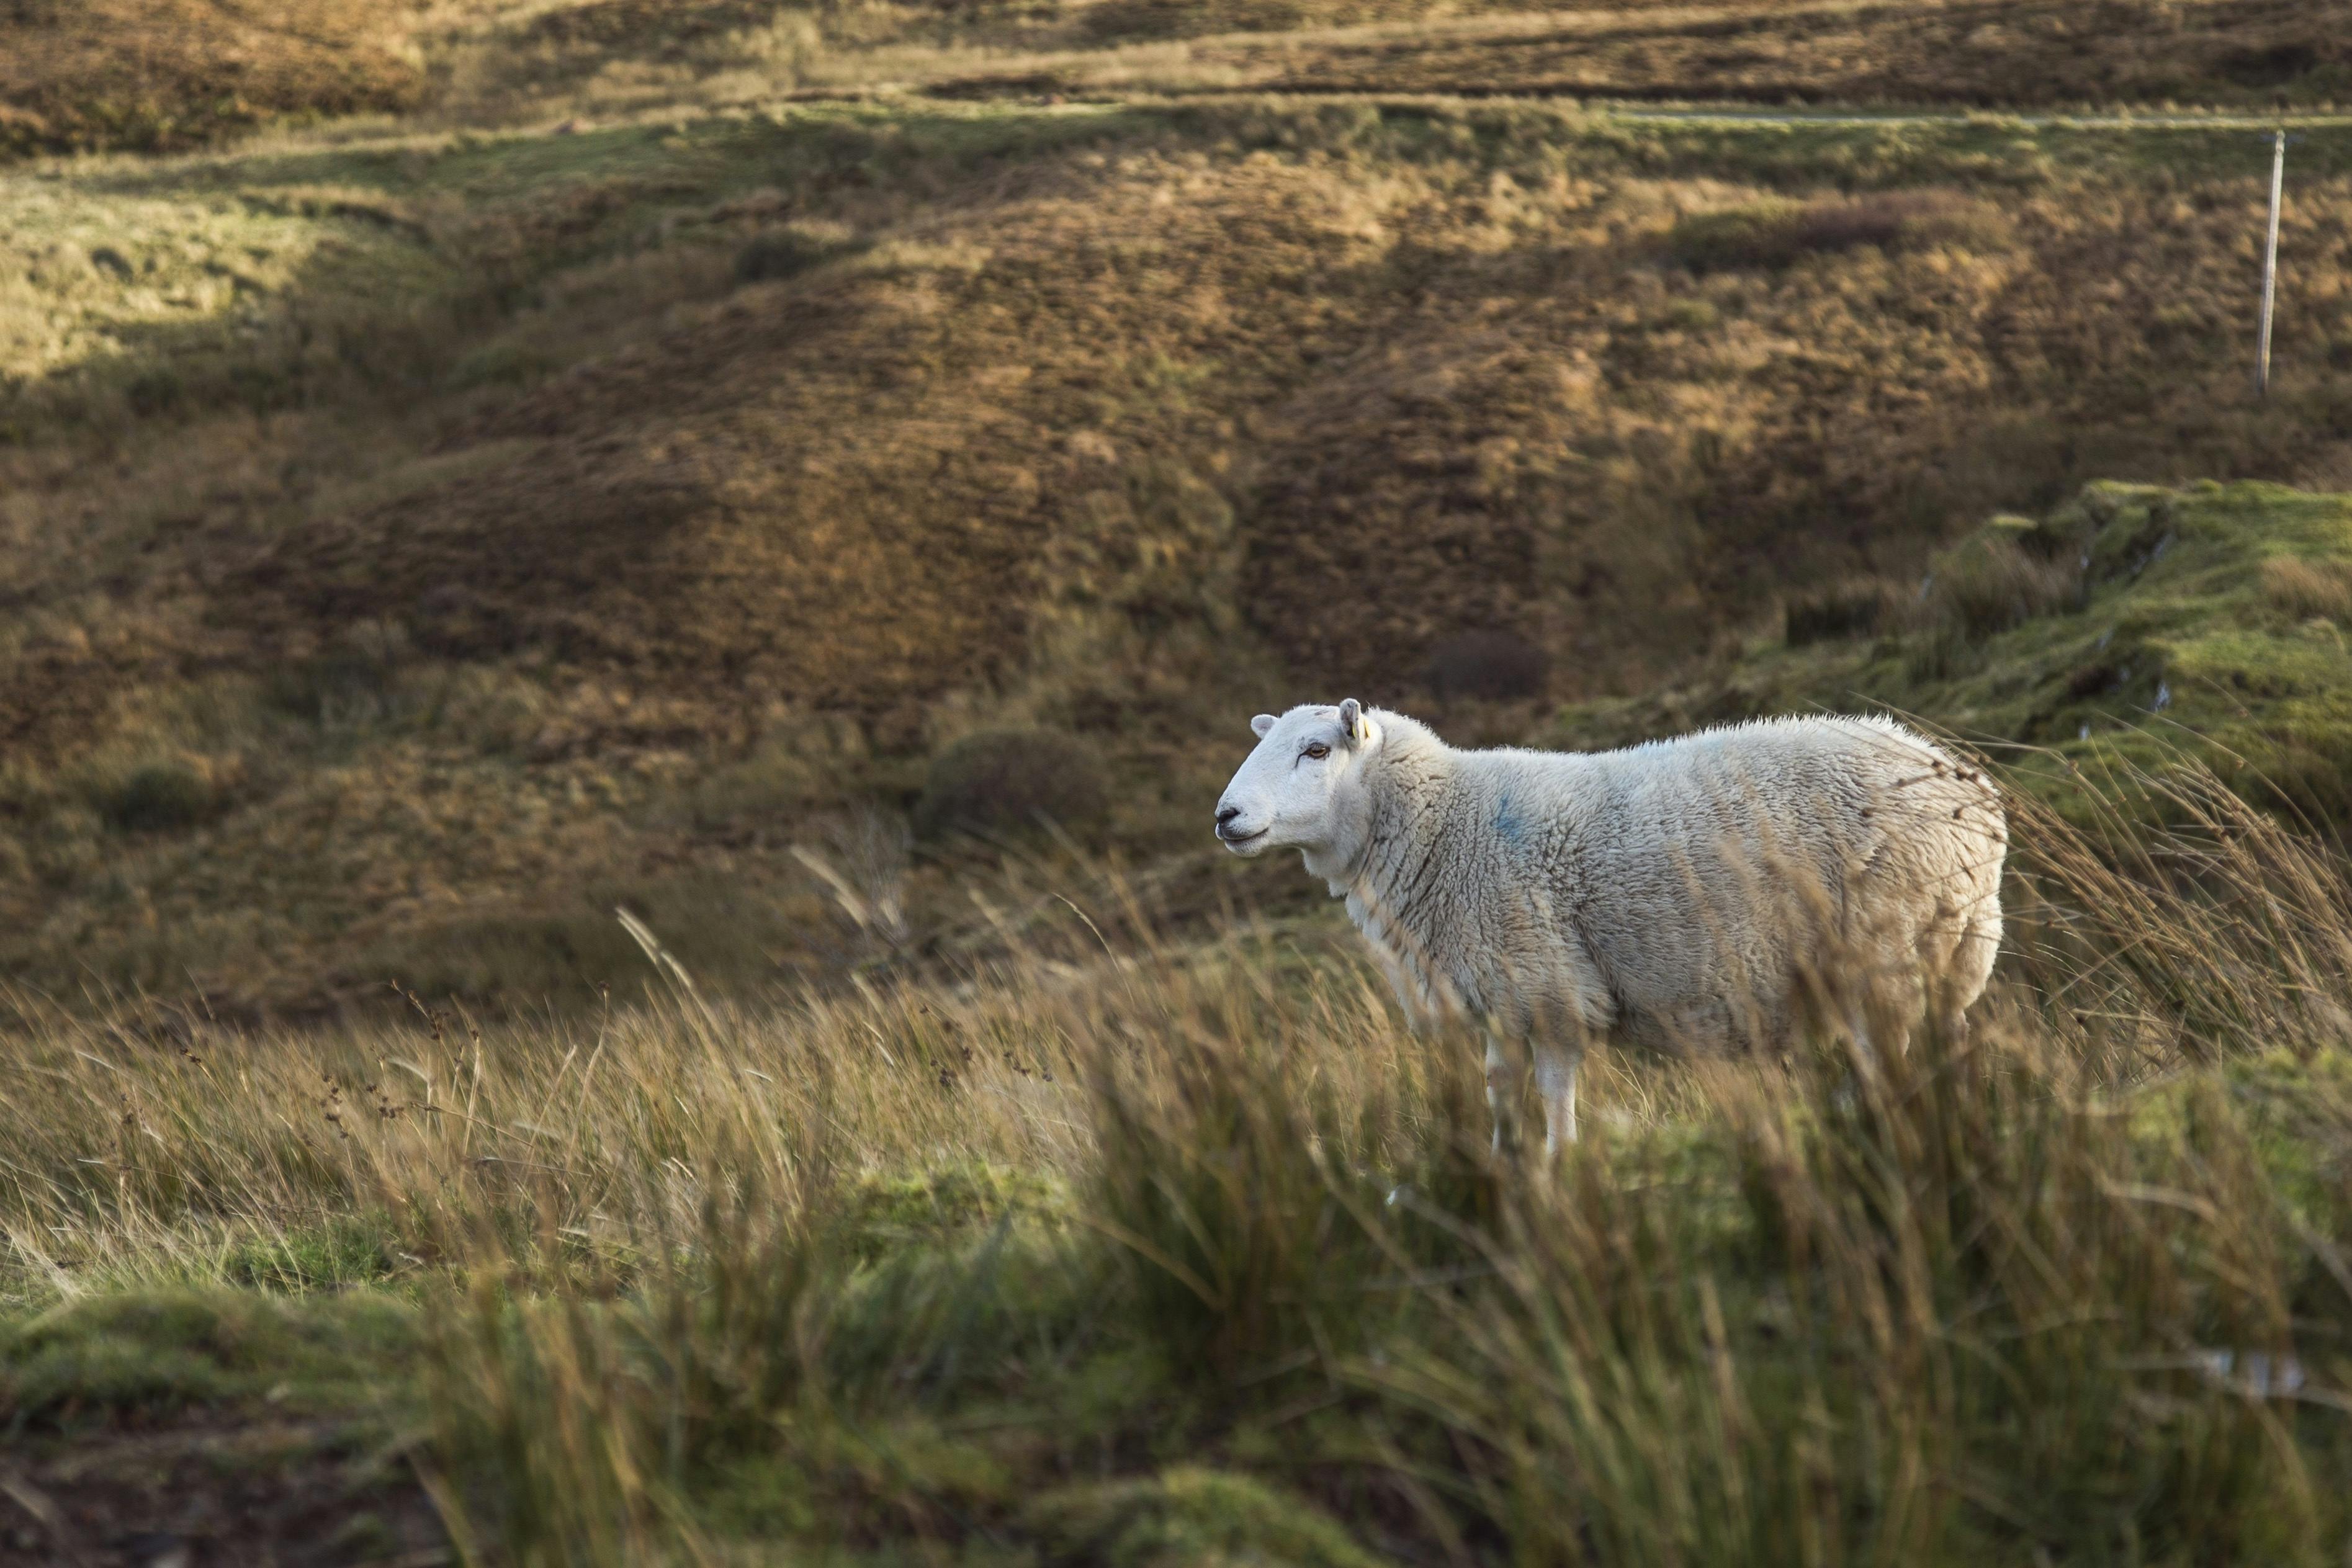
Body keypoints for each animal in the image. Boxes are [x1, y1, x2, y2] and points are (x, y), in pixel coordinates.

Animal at [1214, 701, 2004, 1156]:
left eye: (1317, 750)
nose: (1225, 816)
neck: (1443, 823)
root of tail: (1969, 789)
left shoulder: (1547, 984)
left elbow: (1554, 1092)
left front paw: (1560, 1171)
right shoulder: (1499, 995)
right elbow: (1500, 1090)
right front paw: (1506, 1168)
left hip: (1886, 943)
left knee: (1889, 1053)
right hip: (1951, 944)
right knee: (1949, 1040)